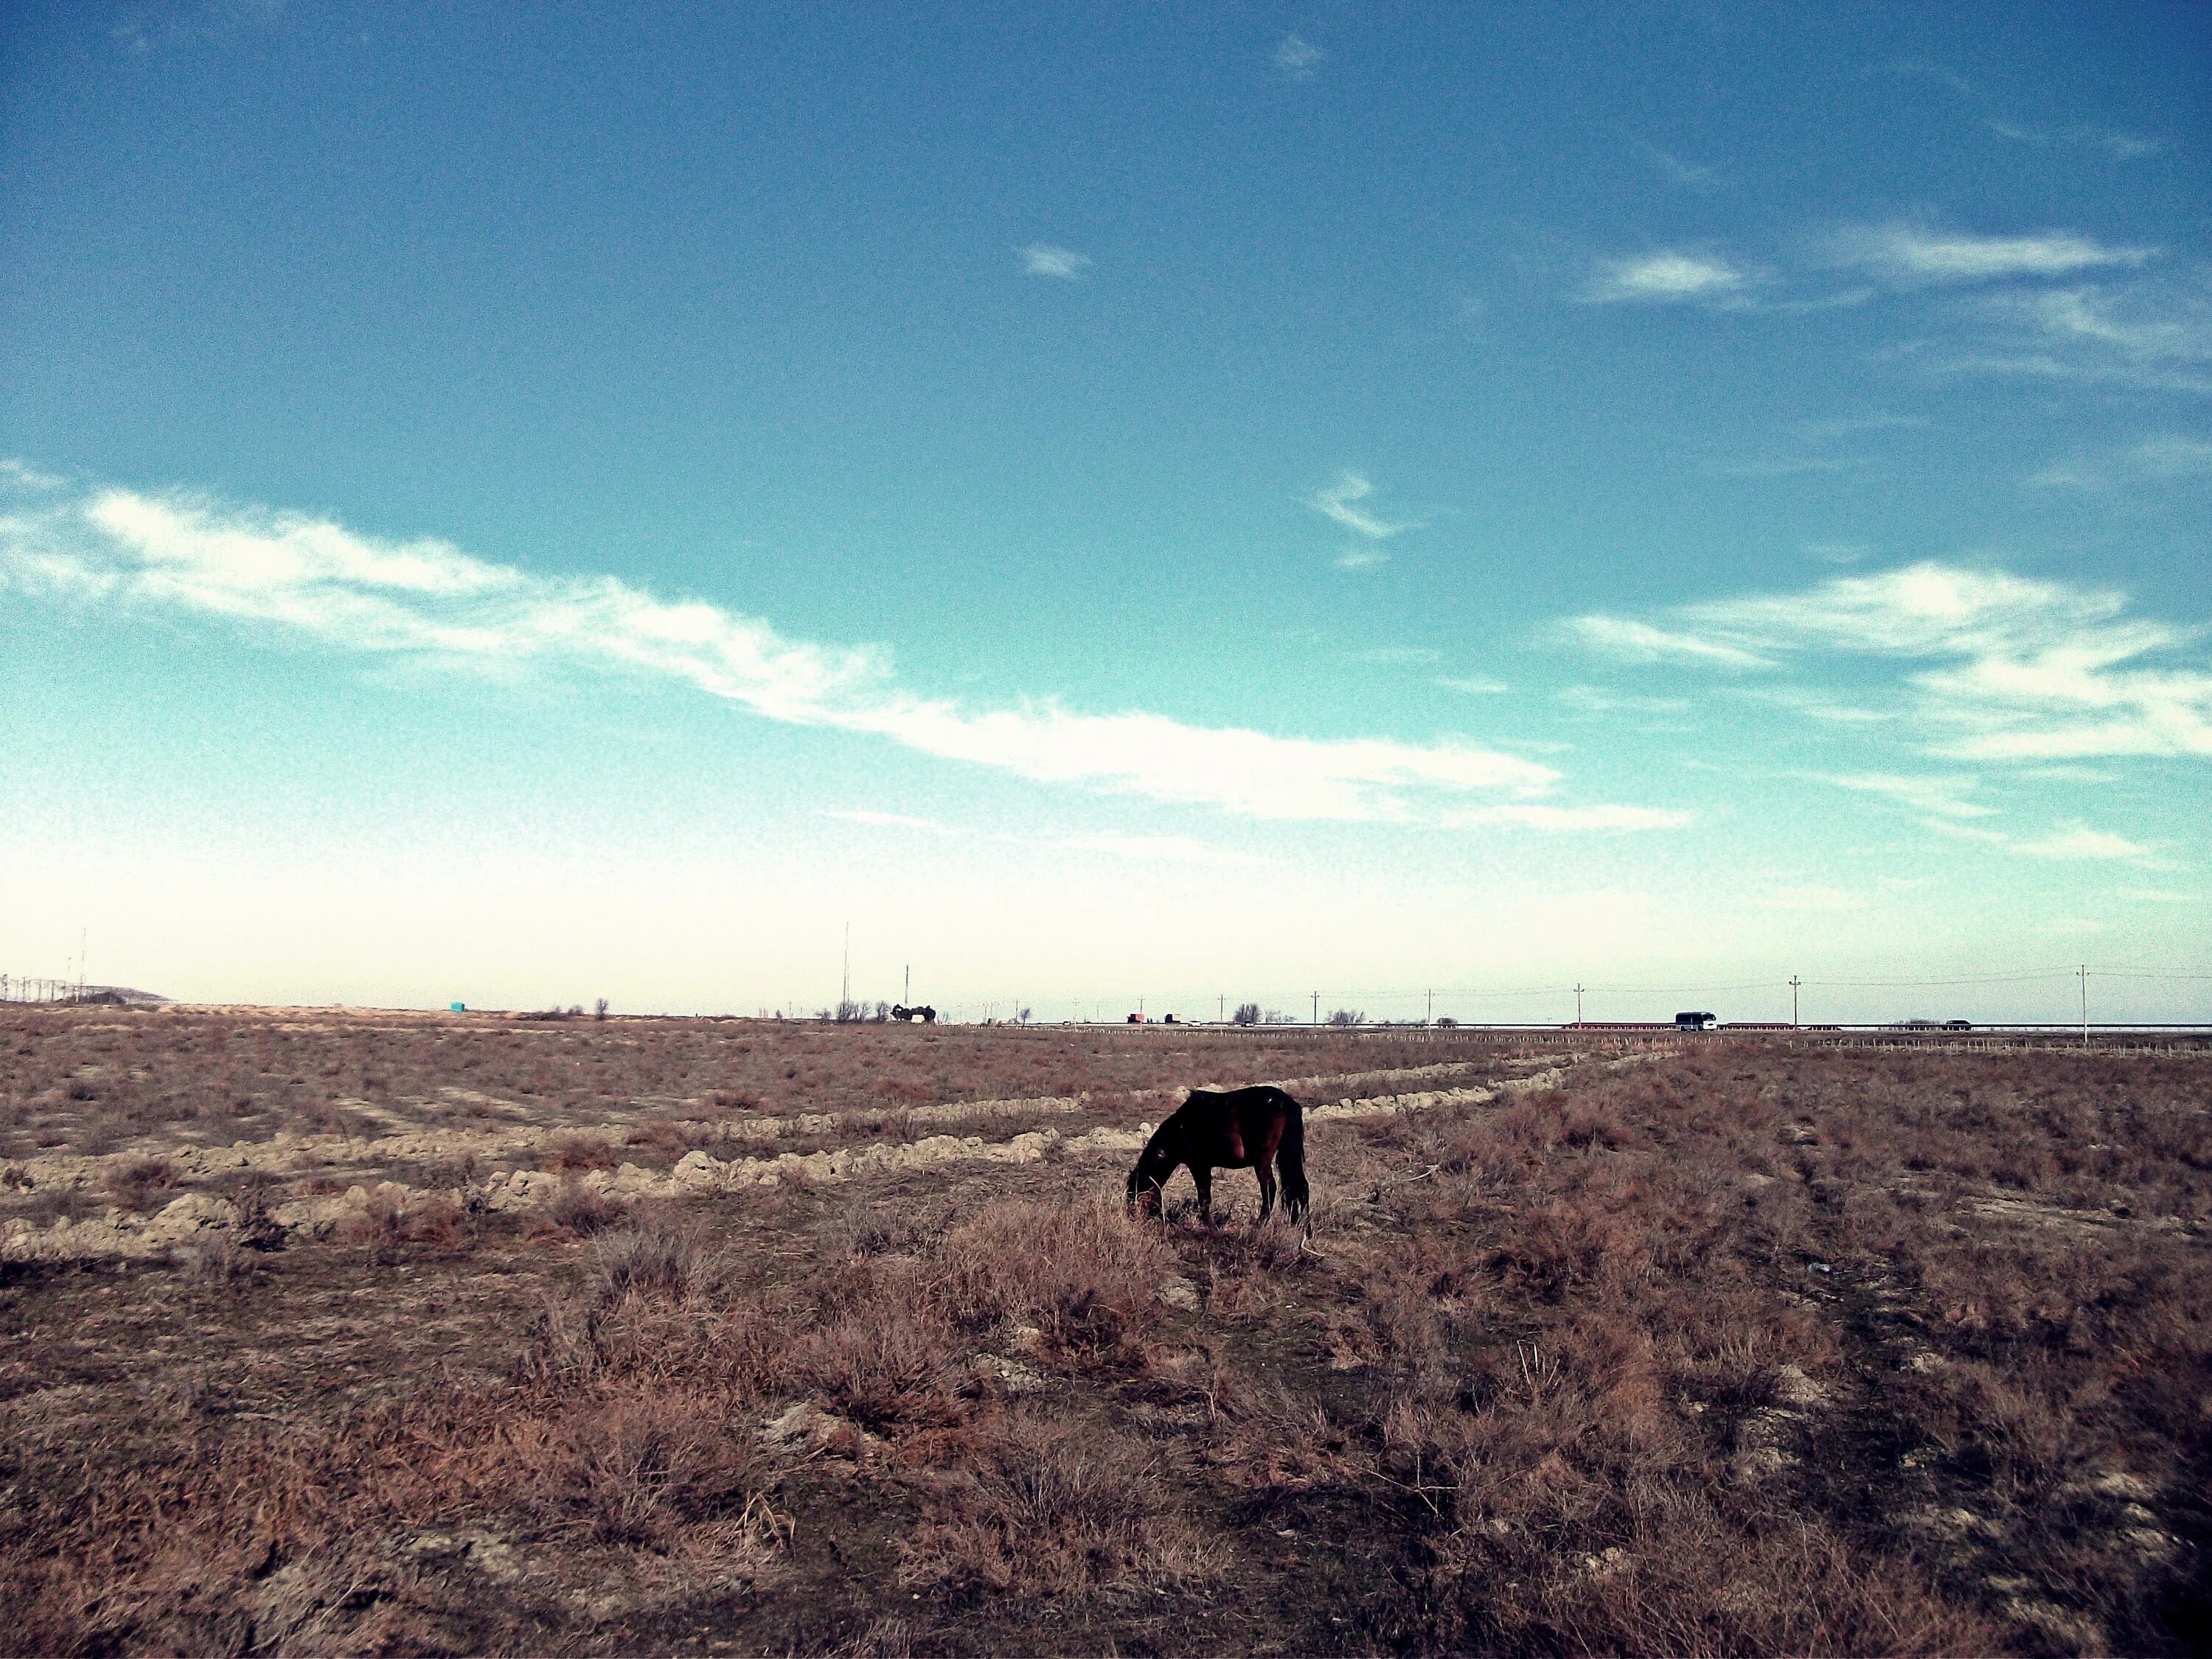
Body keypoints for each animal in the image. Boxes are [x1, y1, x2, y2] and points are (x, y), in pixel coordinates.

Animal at [1133, 1084, 1301, 1230]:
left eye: (1136, 1193)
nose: (1136, 1220)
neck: (1180, 1130)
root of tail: (1285, 1102)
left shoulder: (1199, 1166)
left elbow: (1204, 1197)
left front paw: (1209, 1225)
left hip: (1262, 1161)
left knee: (1269, 1188)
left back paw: (1260, 1224)